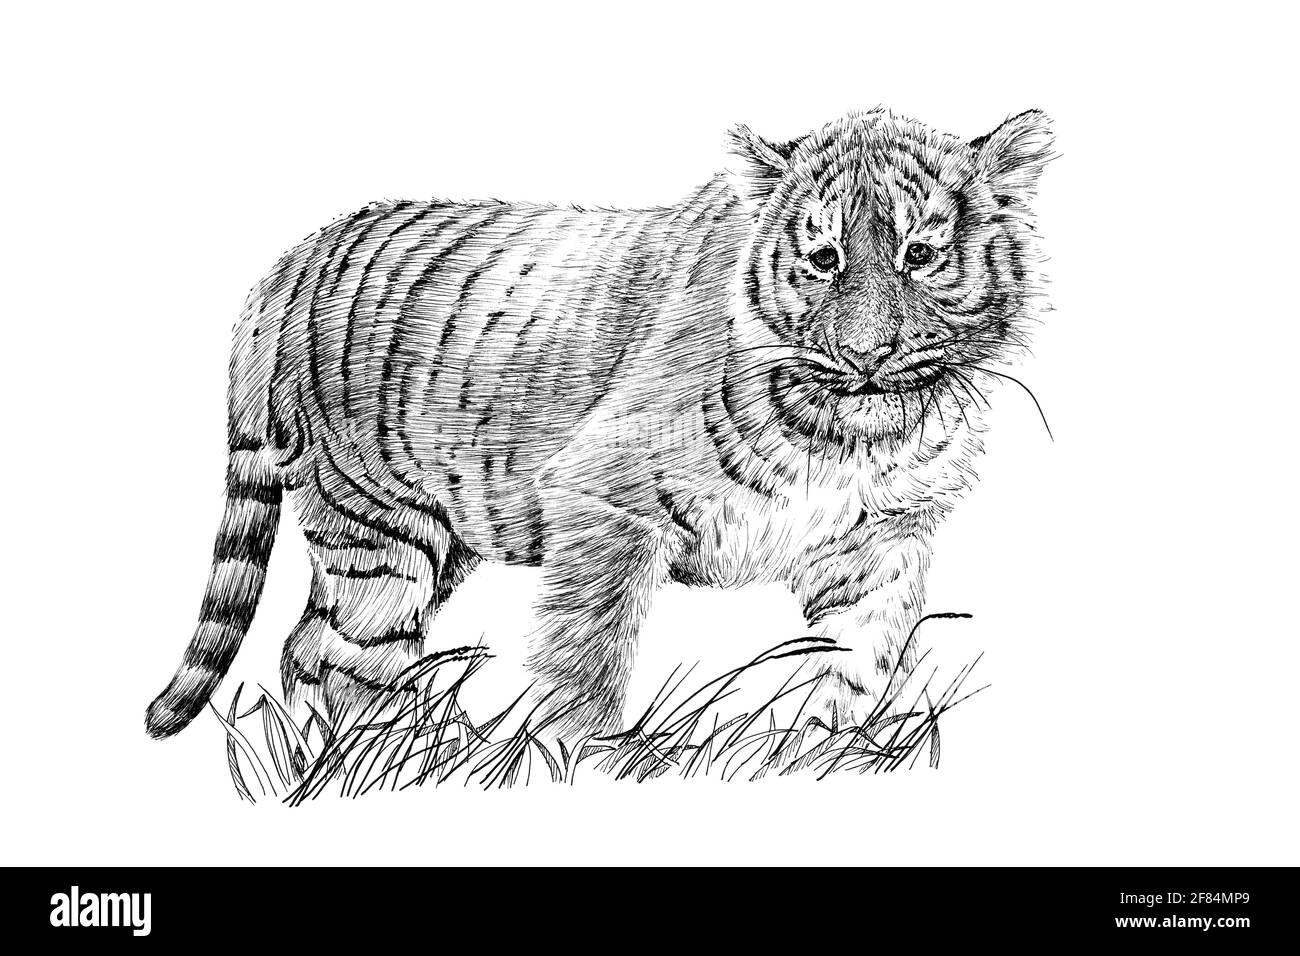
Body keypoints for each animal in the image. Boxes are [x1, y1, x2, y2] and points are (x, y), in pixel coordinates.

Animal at [145, 108, 1054, 742]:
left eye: (920, 256)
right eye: (823, 259)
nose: (867, 353)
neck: (854, 432)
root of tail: (286, 267)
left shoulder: (881, 539)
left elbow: (856, 658)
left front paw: (818, 746)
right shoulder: (605, 502)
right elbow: (589, 650)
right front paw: (582, 758)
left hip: (436, 538)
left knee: (313, 651)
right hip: (377, 525)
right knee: (342, 657)